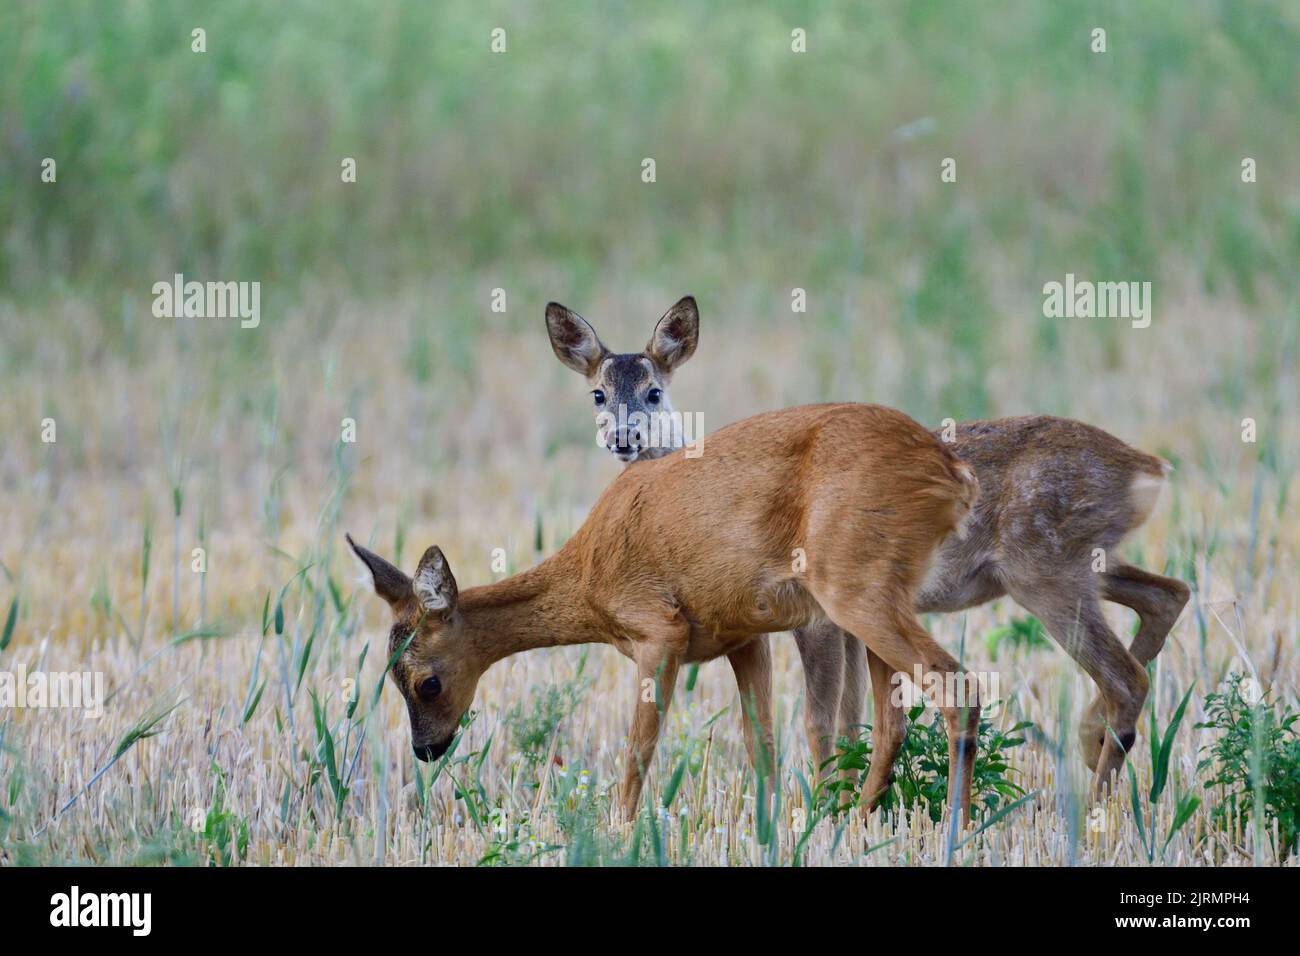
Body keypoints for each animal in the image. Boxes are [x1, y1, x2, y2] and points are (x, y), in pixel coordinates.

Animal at [348, 401, 983, 822]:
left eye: (426, 683)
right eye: (389, 677)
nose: (425, 750)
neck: (588, 577)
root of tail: (952, 473)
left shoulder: (660, 630)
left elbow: (638, 750)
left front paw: (618, 831)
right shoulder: (743, 636)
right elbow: (761, 745)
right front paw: (769, 831)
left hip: (855, 587)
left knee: (957, 685)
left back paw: (951, 829)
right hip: (873, 592)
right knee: (893, 718)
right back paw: (854, 824)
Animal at [547, 297, 1190, 803]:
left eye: (655, 391)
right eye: (597, 393)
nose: (624, 438)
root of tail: (1147, 469)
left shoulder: (820, 618)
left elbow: (822, 721)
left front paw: (828, 807)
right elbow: (853, 718)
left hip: (1043, 568)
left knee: (1127, 670)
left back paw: (1096, 795)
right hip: (1083, 563)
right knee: (1169, 594)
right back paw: (1090, 740)